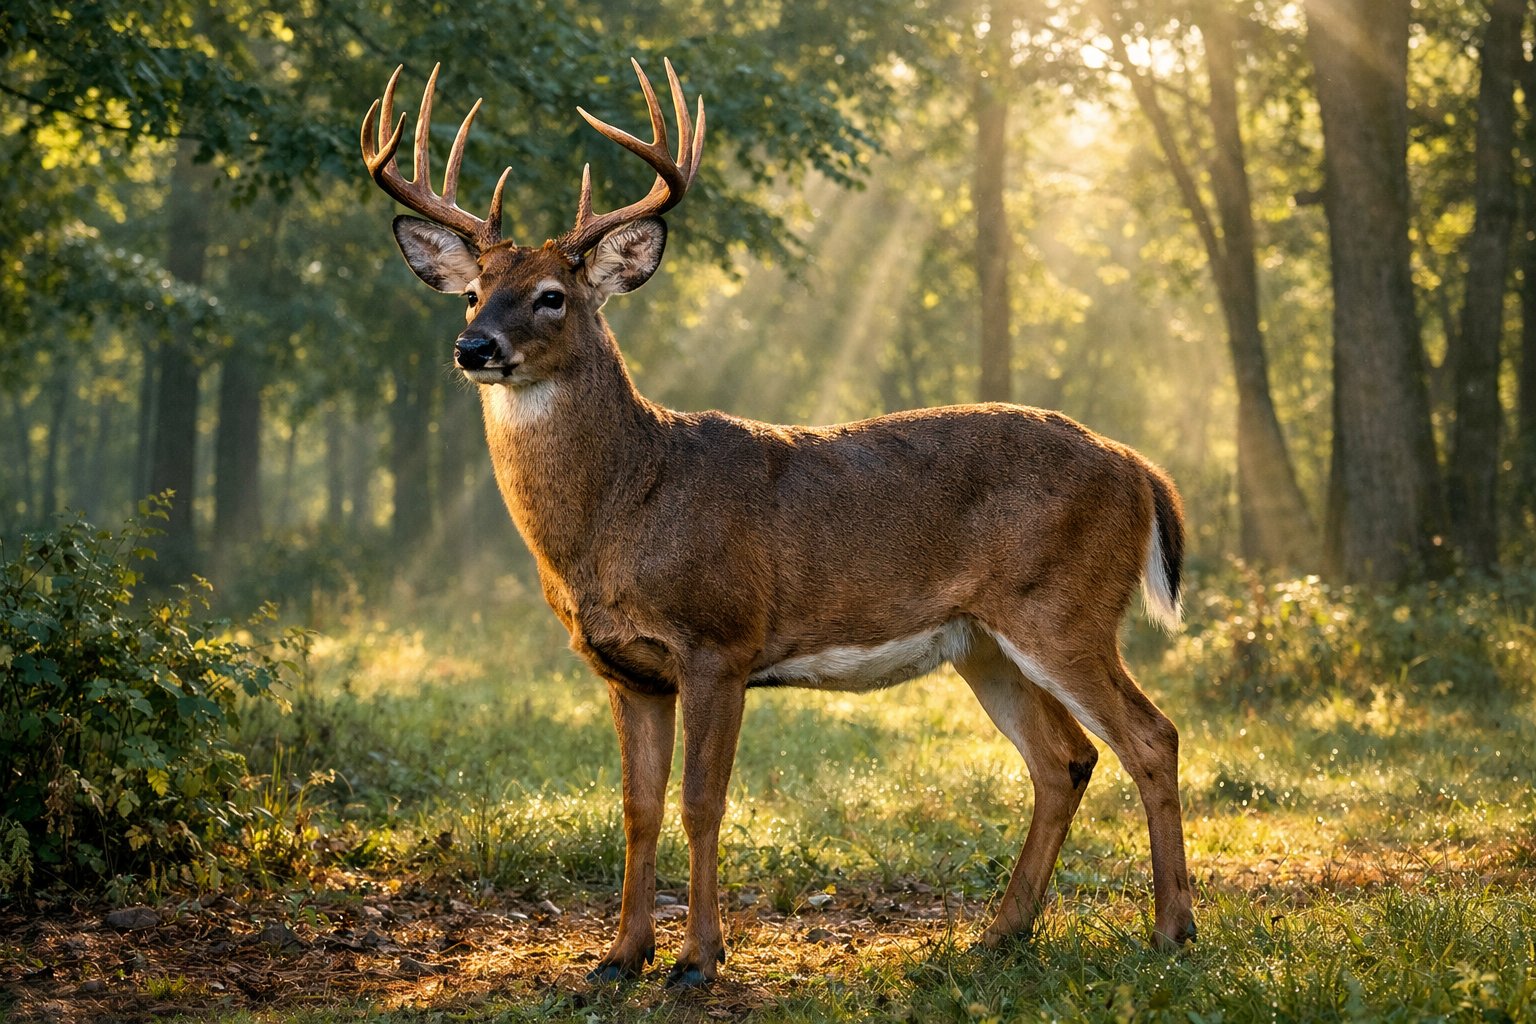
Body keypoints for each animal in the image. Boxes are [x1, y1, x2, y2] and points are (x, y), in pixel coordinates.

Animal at [360, 59, 1196, 987]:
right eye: (472, 293)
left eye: (551, 297)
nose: (474, 347)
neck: (625, 507)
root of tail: (1139, 467)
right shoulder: (625, 668)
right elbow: (637, 807)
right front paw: (619, 958)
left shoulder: (719, 640)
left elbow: (701, 803)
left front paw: (699, 960)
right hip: (983, 640)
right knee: (1064, 760)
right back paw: (999, 934)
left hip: (1064, 607)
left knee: (1151, 737)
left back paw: (1171, 932)